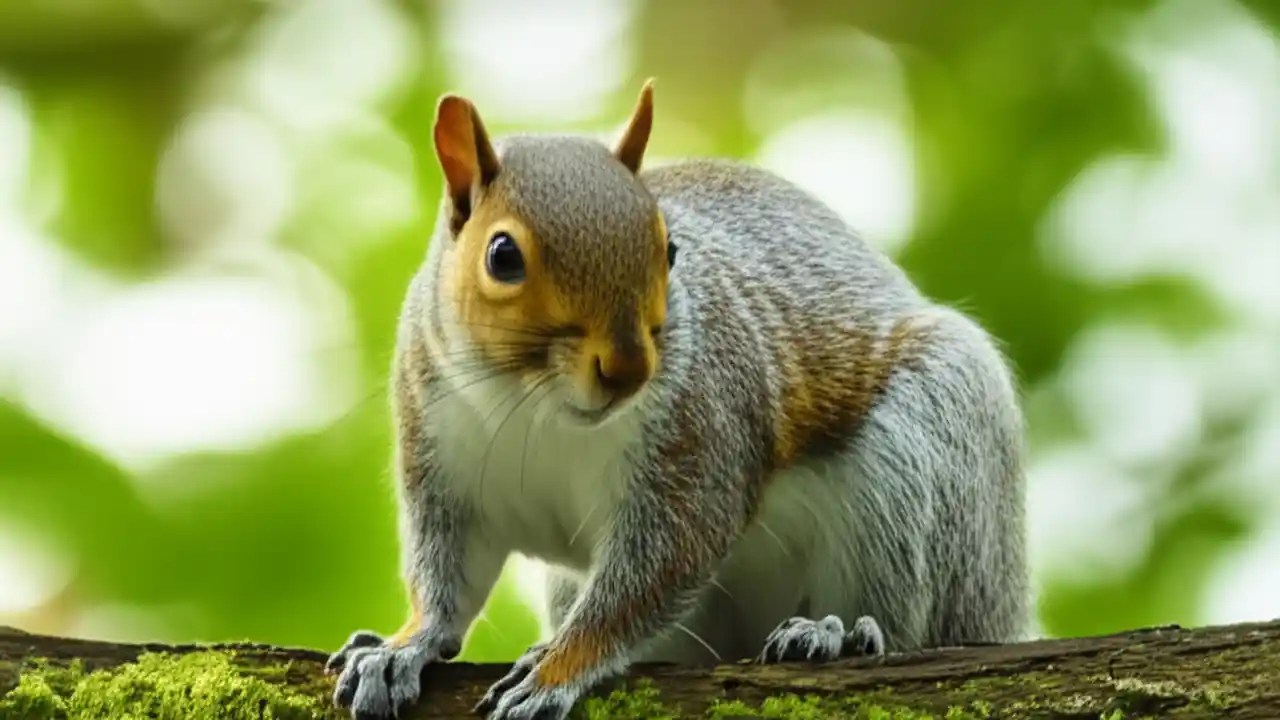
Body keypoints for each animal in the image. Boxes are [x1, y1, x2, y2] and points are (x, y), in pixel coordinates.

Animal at [324, 79, 1029, 720]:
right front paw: (402, 647)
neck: (533, 406)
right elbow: (448, 579)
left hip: (923, 462)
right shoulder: (441, 458)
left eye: (670, 249)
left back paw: (842, 635)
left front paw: (558, 670)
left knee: (907, 618)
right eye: (502, 255)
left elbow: (653, 573)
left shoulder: (701, 439)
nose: (629, 369)